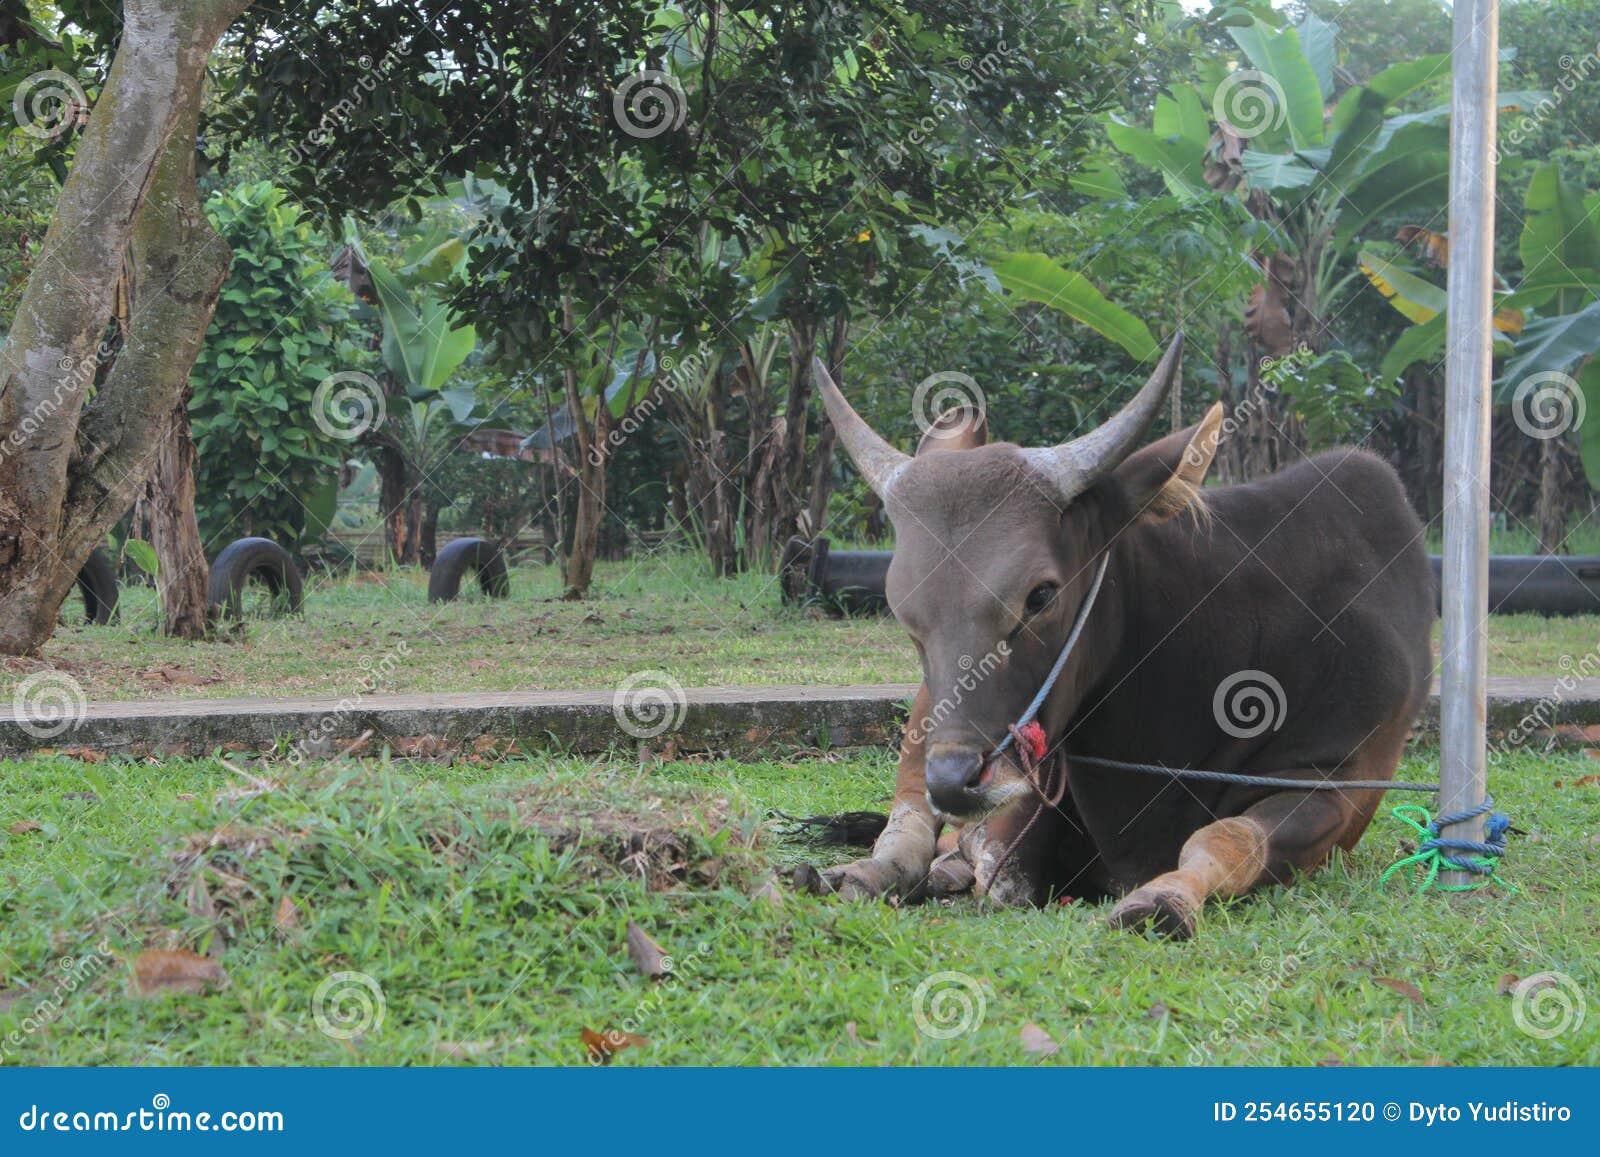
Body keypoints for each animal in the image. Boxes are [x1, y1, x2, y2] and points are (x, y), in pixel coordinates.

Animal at [807, 334, 1435, 938]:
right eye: (904, 611)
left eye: (1041, 595)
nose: (956, 780)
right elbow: (1000, 871)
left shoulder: (1333, 788)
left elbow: (1227, 838)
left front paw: (1162, 899)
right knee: (911, 826)